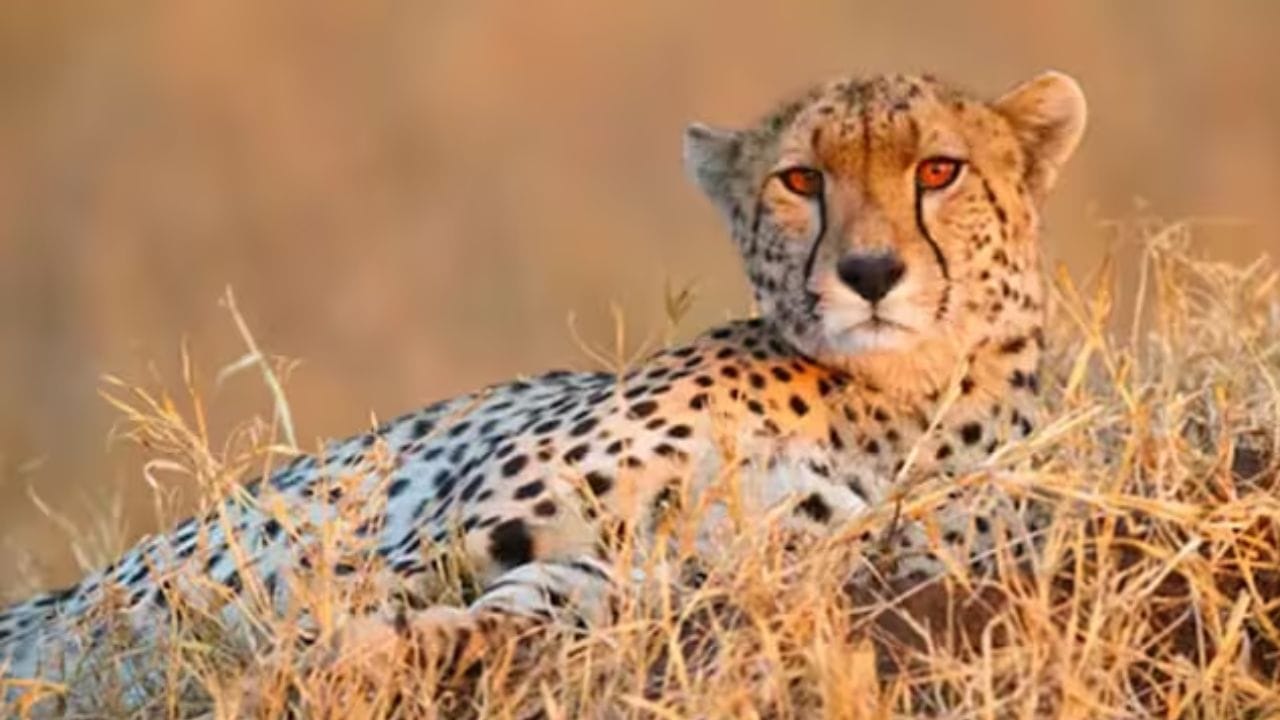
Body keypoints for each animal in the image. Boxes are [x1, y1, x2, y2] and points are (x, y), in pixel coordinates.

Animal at [0, 69, 1086, 706]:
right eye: (799, 181)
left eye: (938, 171)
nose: (868, 273)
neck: (884, 399)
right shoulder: (447, 533)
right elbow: (314, 596)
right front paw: (297, 658)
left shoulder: (685, 573)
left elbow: (524, 608)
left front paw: (381, 657)